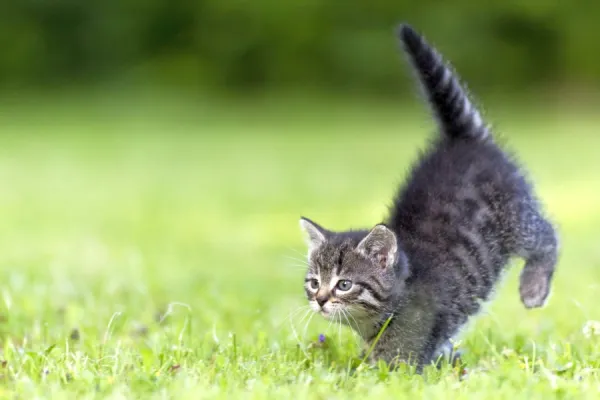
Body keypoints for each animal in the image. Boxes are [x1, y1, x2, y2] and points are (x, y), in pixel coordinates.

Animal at [298, 25, 556, 374]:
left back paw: (533, 288)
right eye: (314, 282)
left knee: (548, 236)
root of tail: (462, 139)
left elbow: (391, 367)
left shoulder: (405, 349)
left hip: (515, 219)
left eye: (344, 284)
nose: (320, 299)